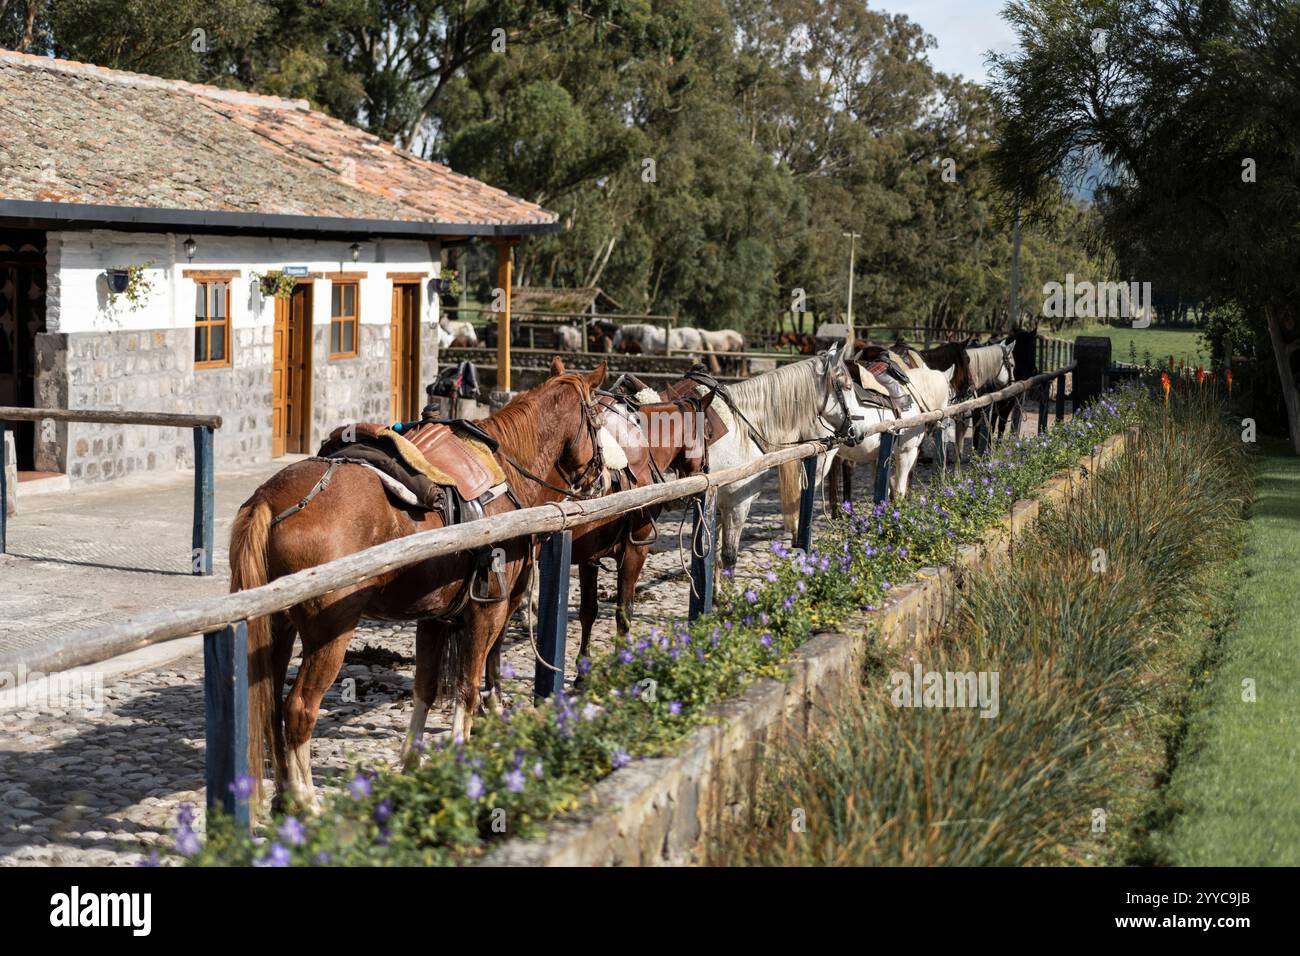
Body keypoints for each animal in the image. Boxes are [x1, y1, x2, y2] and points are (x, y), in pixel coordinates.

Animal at [229, 361, 611, 812]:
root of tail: (271, 500)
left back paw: (285, 797)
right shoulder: (488, 608)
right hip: (330, 634)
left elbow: (426, 687)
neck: (509, 471)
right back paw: (307, 801)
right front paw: (461, 757)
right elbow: (469, 684)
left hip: (279, 626)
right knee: (299, 709)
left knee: (270, 703)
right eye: (598, 421)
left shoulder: (435, 616)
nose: (603, 478)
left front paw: (413, 761)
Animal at [702, 346, 869, 569]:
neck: (740, 426)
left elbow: (717, 561)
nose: (859, 432)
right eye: (848, 386)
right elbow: (729, 558)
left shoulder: (721, 507)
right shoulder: (736, 505)